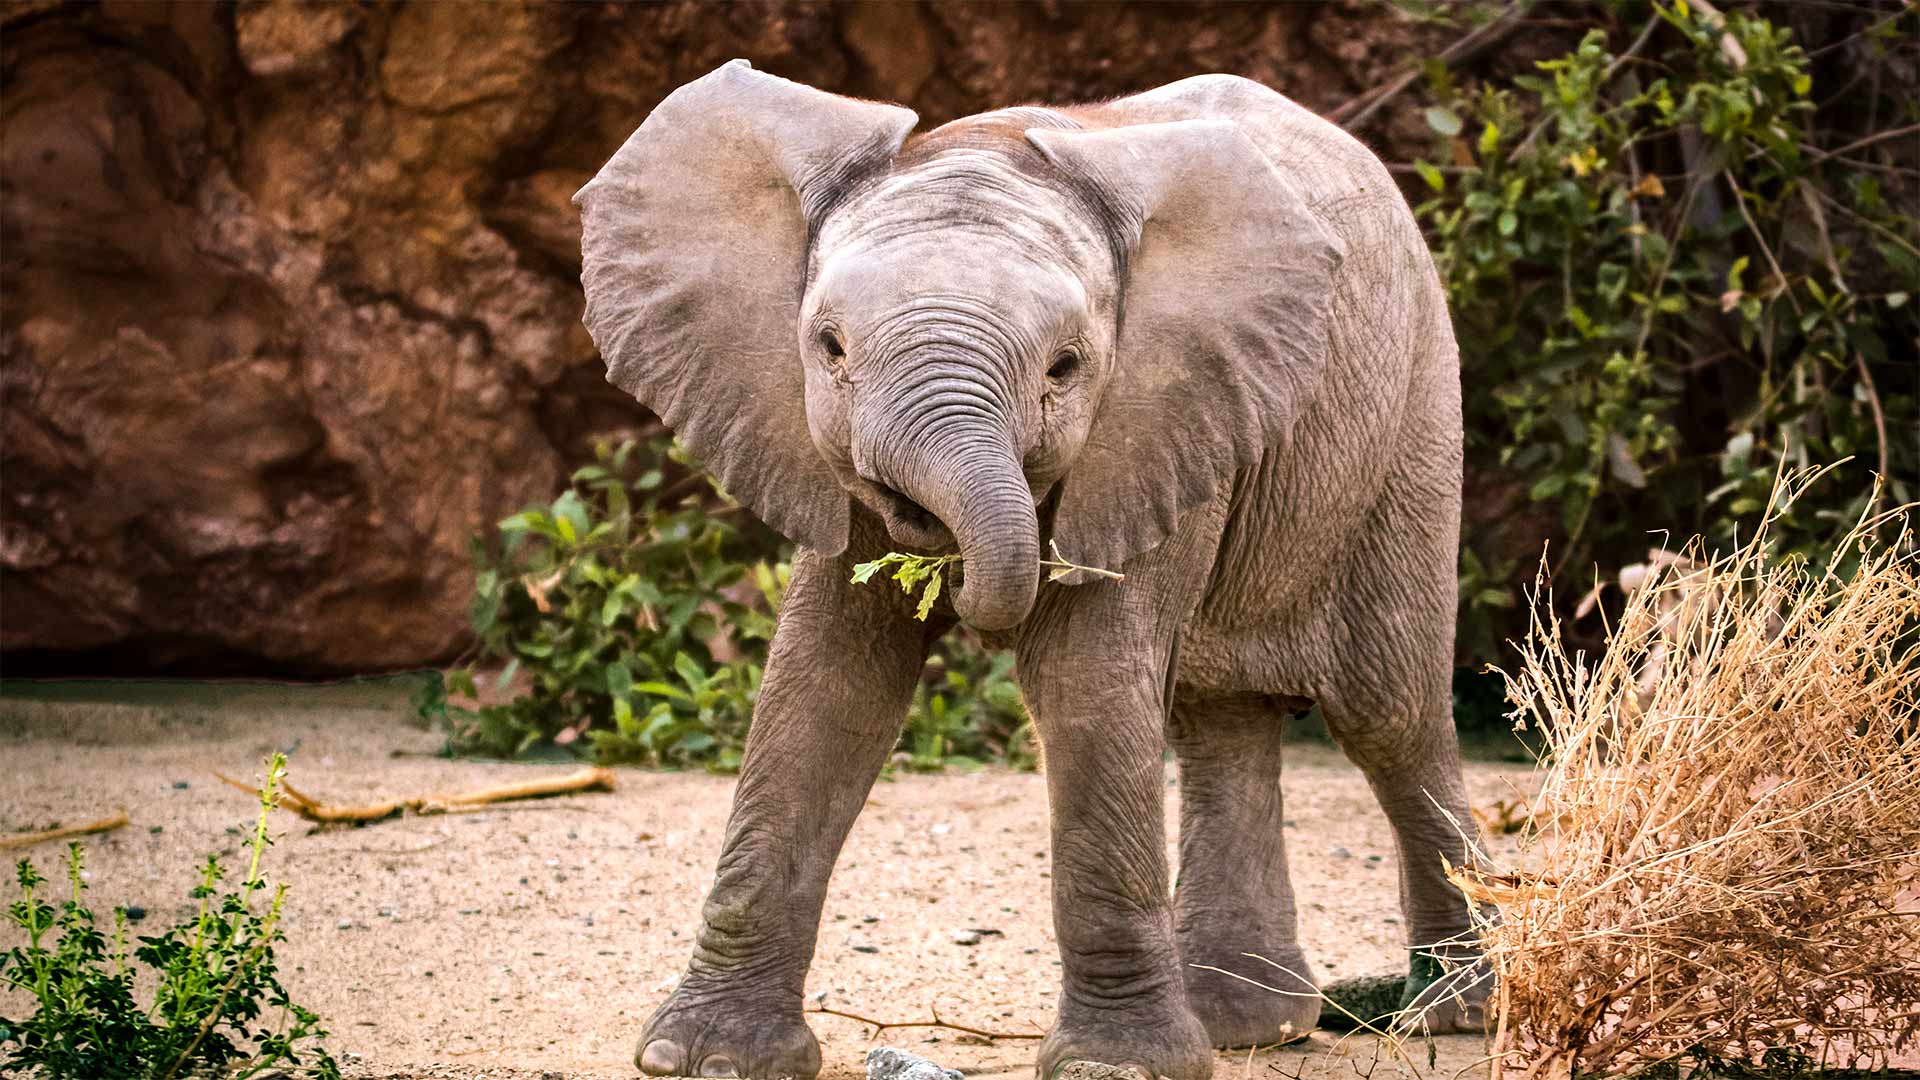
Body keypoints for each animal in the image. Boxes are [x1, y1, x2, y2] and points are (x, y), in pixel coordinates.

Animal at [575, 60, 1486, 1080]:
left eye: (1065, 368)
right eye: (830, 349)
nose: (960, 574)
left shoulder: (1163, 407)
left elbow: (1081, 676)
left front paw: (1116, 1067)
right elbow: (827, 680)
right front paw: (701, 1058)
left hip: (1414, 408)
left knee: (1391, 714)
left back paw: (1454, 1012)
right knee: (1220, 713)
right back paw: (1245, 1027)